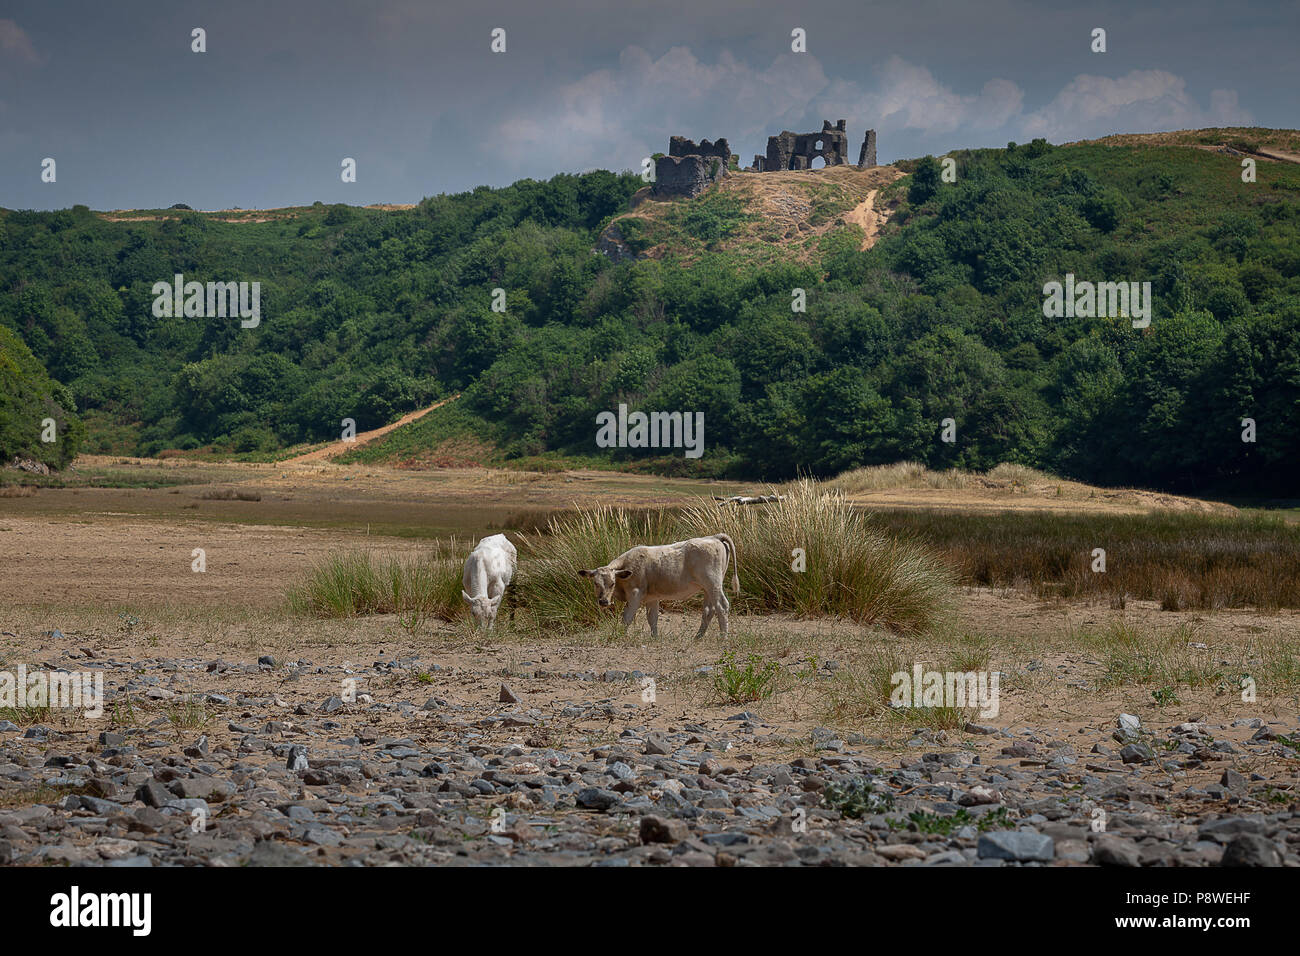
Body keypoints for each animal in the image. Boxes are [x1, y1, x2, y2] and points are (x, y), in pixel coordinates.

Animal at [579, 535, 743, 639]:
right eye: (595, 583)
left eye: (612, 583)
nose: (603, 602)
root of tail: (714, 537)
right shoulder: (652, 598)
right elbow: (652, 619)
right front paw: (655, 638)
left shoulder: (635, 594)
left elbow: (627, 618)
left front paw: (620, 636)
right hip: (708, 588)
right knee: (709, 610)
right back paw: (698, 637)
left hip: (713, 584)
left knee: (722, 606)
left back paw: (723, 637)